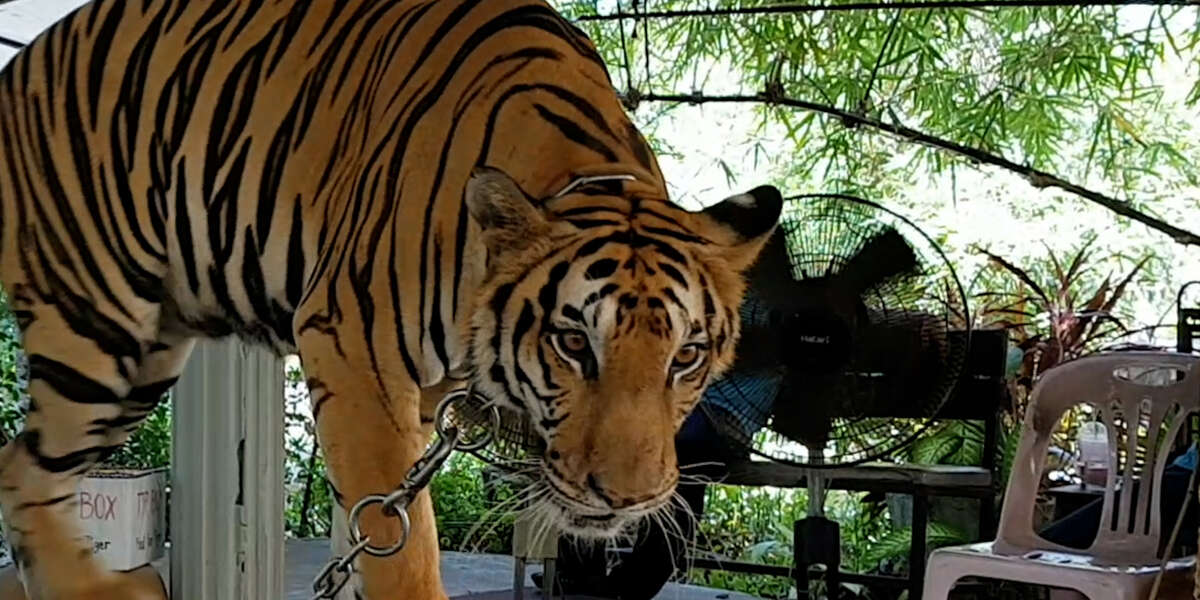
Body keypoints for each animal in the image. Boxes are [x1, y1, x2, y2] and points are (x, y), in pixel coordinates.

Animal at [0, 1, 782, 598]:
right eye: (571, 343)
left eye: (686, 356)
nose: (629, 500)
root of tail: (22, 60)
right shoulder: (352, 352)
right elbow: (399, 548)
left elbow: (357, 539)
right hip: (96, 325)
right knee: (28, 471)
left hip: (148, 356)